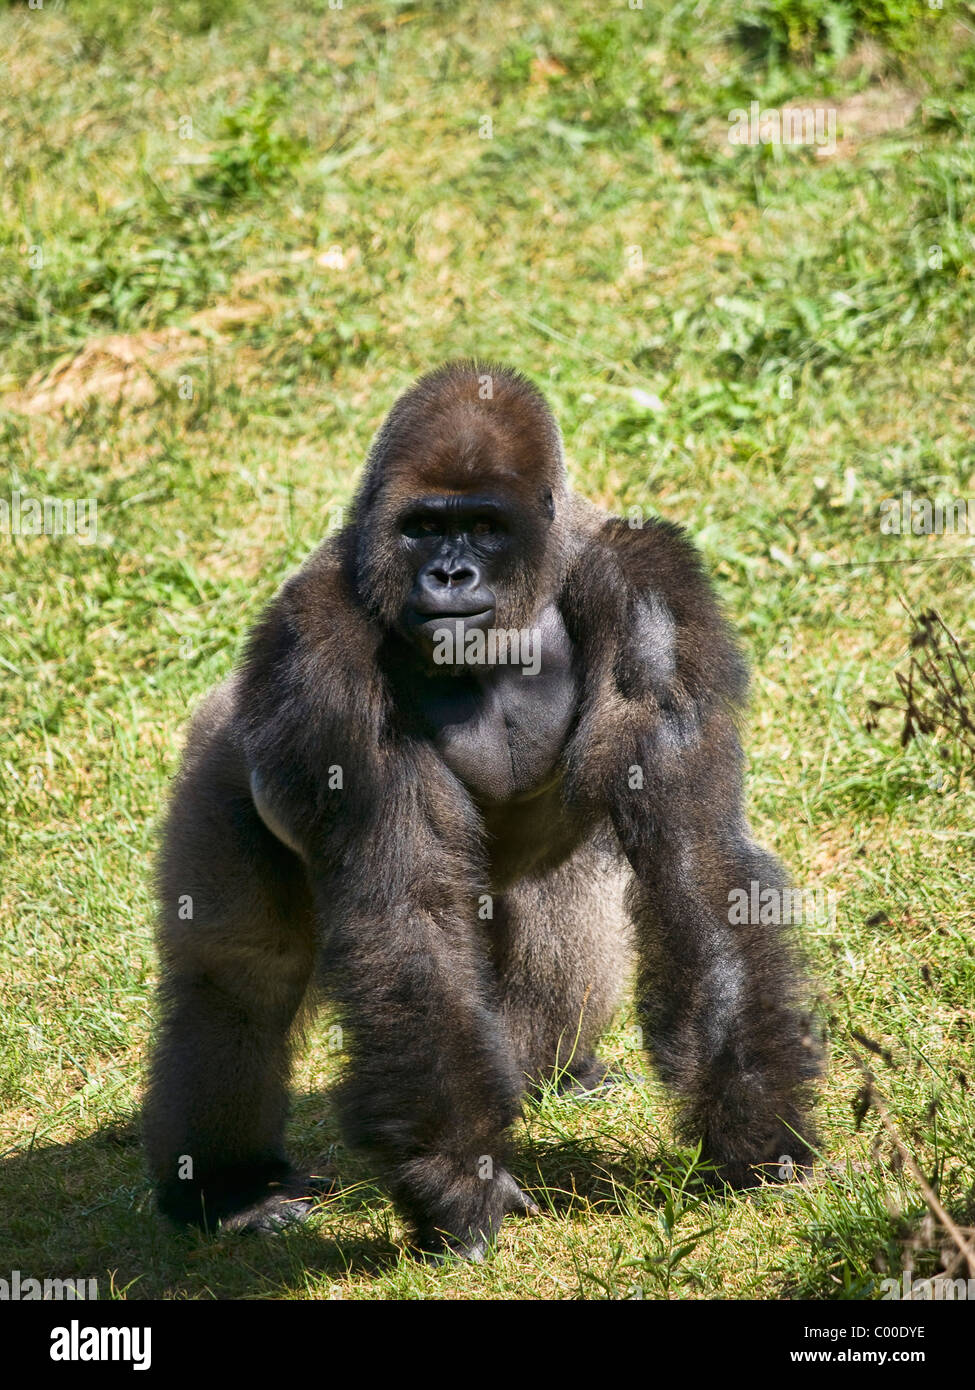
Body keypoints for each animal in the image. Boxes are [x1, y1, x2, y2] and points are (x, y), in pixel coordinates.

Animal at [144, 361, 820, 1260]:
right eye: (425, 529)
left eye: (483, 529)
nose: (450, 576)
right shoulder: (322, 648)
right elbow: (407, 912)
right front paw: (459, 1181)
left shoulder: (649, 594)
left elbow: (693, 857)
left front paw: (753, 1122)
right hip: (220, 753)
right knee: (240, 978)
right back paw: (228, 1187)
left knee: (558, 921)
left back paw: (559, 1073)